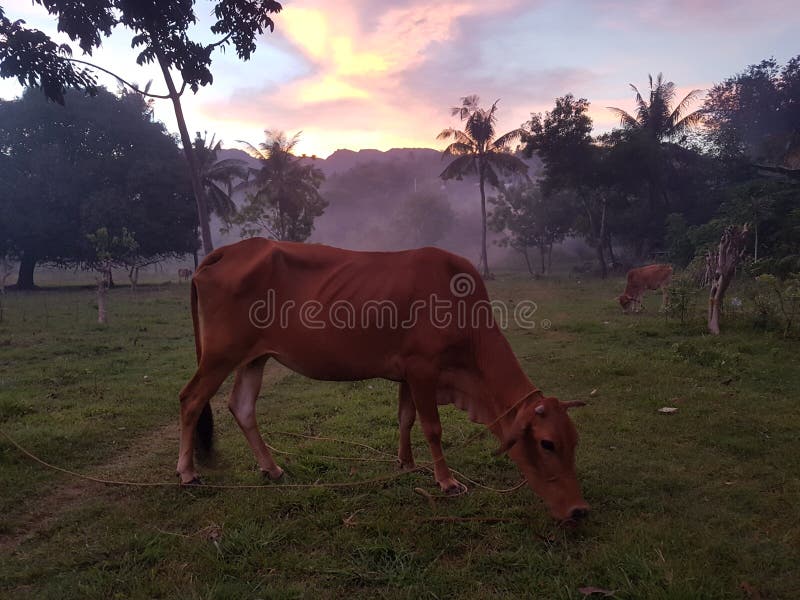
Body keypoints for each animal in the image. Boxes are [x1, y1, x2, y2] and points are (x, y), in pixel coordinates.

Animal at [177, 238, 589, 523]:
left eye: (574, 441)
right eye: (547, 444)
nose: (579, 509)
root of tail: (226, 251)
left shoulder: (408, 373)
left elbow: (405, 418)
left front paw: (405, 462)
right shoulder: (423, 369)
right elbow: (432, 427)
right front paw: (446, 481)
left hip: (254, 357)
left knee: (242, 407)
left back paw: (272, 468)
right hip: (220, 354)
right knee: (191, 399)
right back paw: (187, 473)